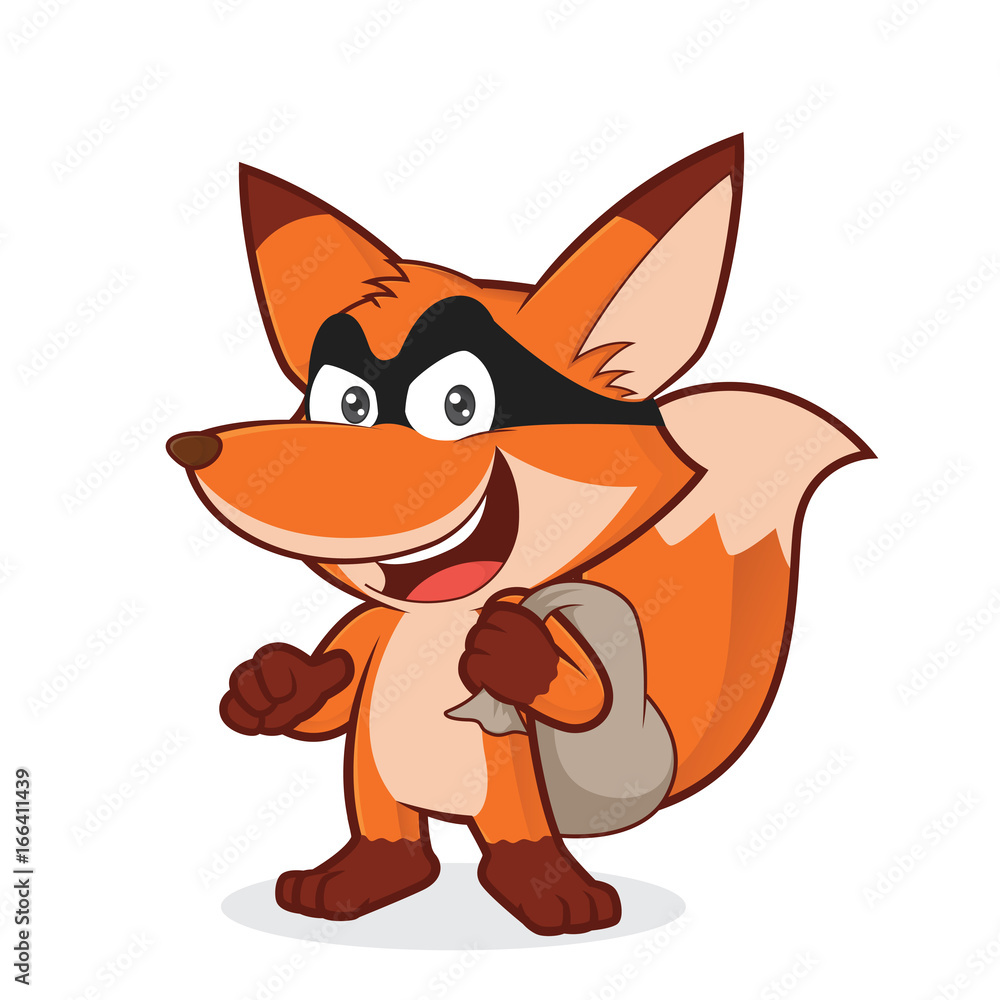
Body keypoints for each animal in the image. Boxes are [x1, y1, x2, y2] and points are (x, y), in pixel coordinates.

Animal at [167, 135, 871, 937]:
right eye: (348, 404)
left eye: (458, 405)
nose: (194, 447)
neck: (438, 619)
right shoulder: (372, 630)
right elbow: (328, 700)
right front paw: (275, 684)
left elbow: (584, 696)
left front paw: (515, 655)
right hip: (381, 787)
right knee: (396, 839)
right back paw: (360, 875)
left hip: (510, 791)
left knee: (513, 839)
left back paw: (548, 888)